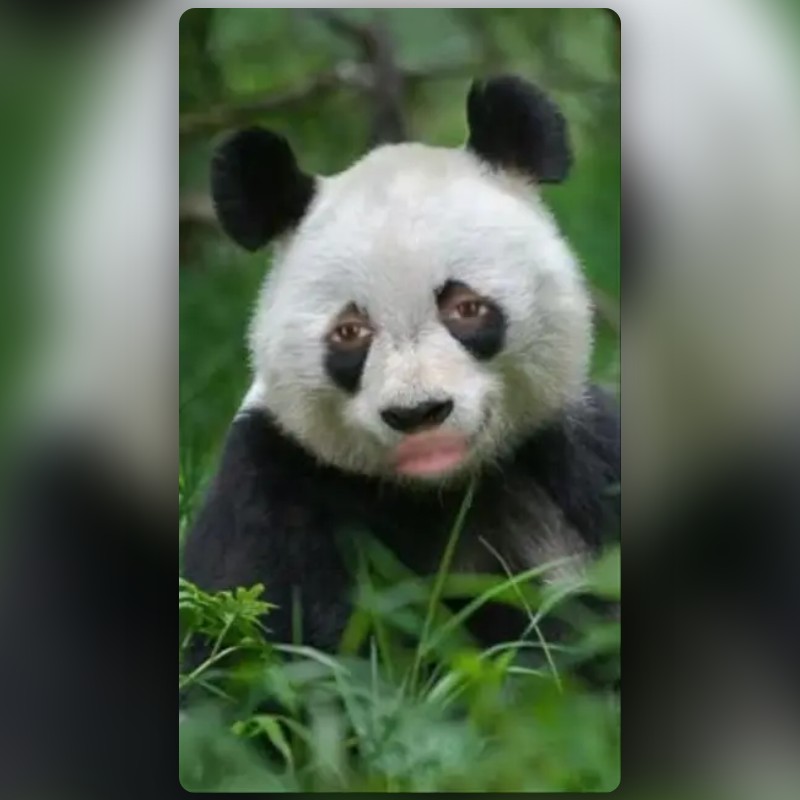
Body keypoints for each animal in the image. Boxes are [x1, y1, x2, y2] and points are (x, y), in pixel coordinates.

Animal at [182, 76, 620, 661]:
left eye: (466, 307)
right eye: (350, 332)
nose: (418, 413)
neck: (439, 491)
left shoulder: (576, 451)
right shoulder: (272, 486)